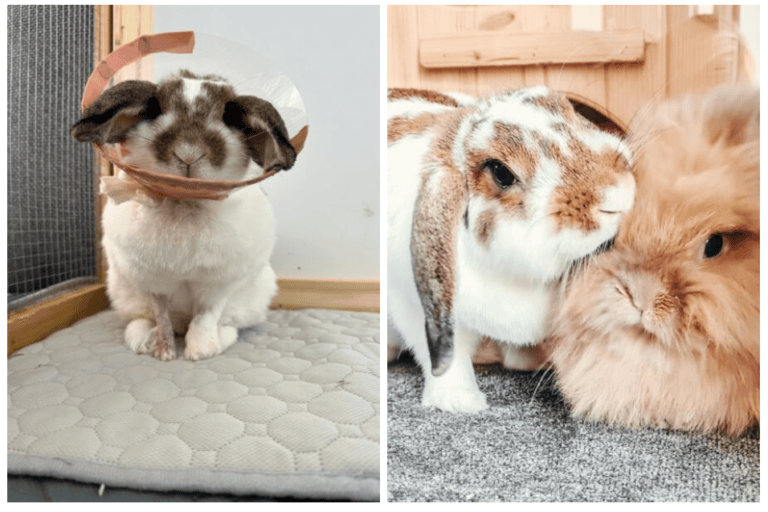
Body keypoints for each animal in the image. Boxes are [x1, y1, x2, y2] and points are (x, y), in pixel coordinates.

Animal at [71, 70, 297, 361]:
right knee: (148, 320)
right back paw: (142, 339)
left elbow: (206, 315)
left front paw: (200, 352)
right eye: (155, 109)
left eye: (228, 115)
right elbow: (161, 316)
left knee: (227, 323)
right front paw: (164, 353)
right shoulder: (153, 282)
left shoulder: (219, 284)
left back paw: (219, 339)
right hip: (126, 295)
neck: (187, 201)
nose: (189, 153)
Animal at [387, 86, 636, 412]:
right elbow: (445, 357)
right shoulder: (414, 306)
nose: (615, 194)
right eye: (501, 173)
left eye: (568, 108)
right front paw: (460, 402)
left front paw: (529, 360)